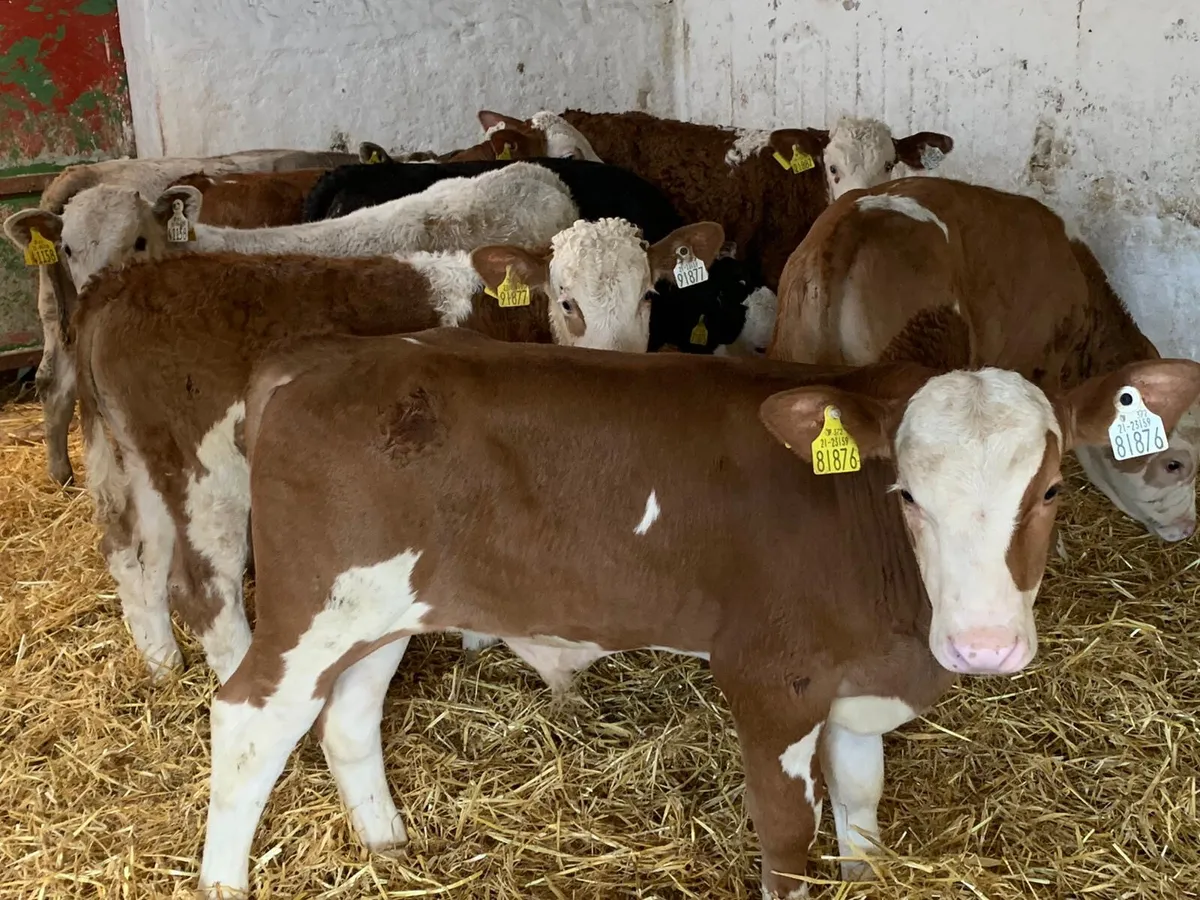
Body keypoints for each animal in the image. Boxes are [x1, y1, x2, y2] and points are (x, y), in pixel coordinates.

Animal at [72, 218, 723, 682]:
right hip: (209, 474)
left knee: (137, 558)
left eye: (648, 294)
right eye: (567, 301)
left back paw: (162, 665)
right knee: (206, 589)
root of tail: (121, 283)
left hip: (143, 464)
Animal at [193, 327, 1200, 899]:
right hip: (309, 609)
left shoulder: (855, 683)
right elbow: (788, 837)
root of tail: (314, 357)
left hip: (379, 610)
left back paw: (391, 848)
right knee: (247, 723)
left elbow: (861, 800)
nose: (982, 645)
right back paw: (224, 882)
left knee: (348, 720)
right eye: (907, 494)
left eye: (1053, 490)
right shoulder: (771, 678)